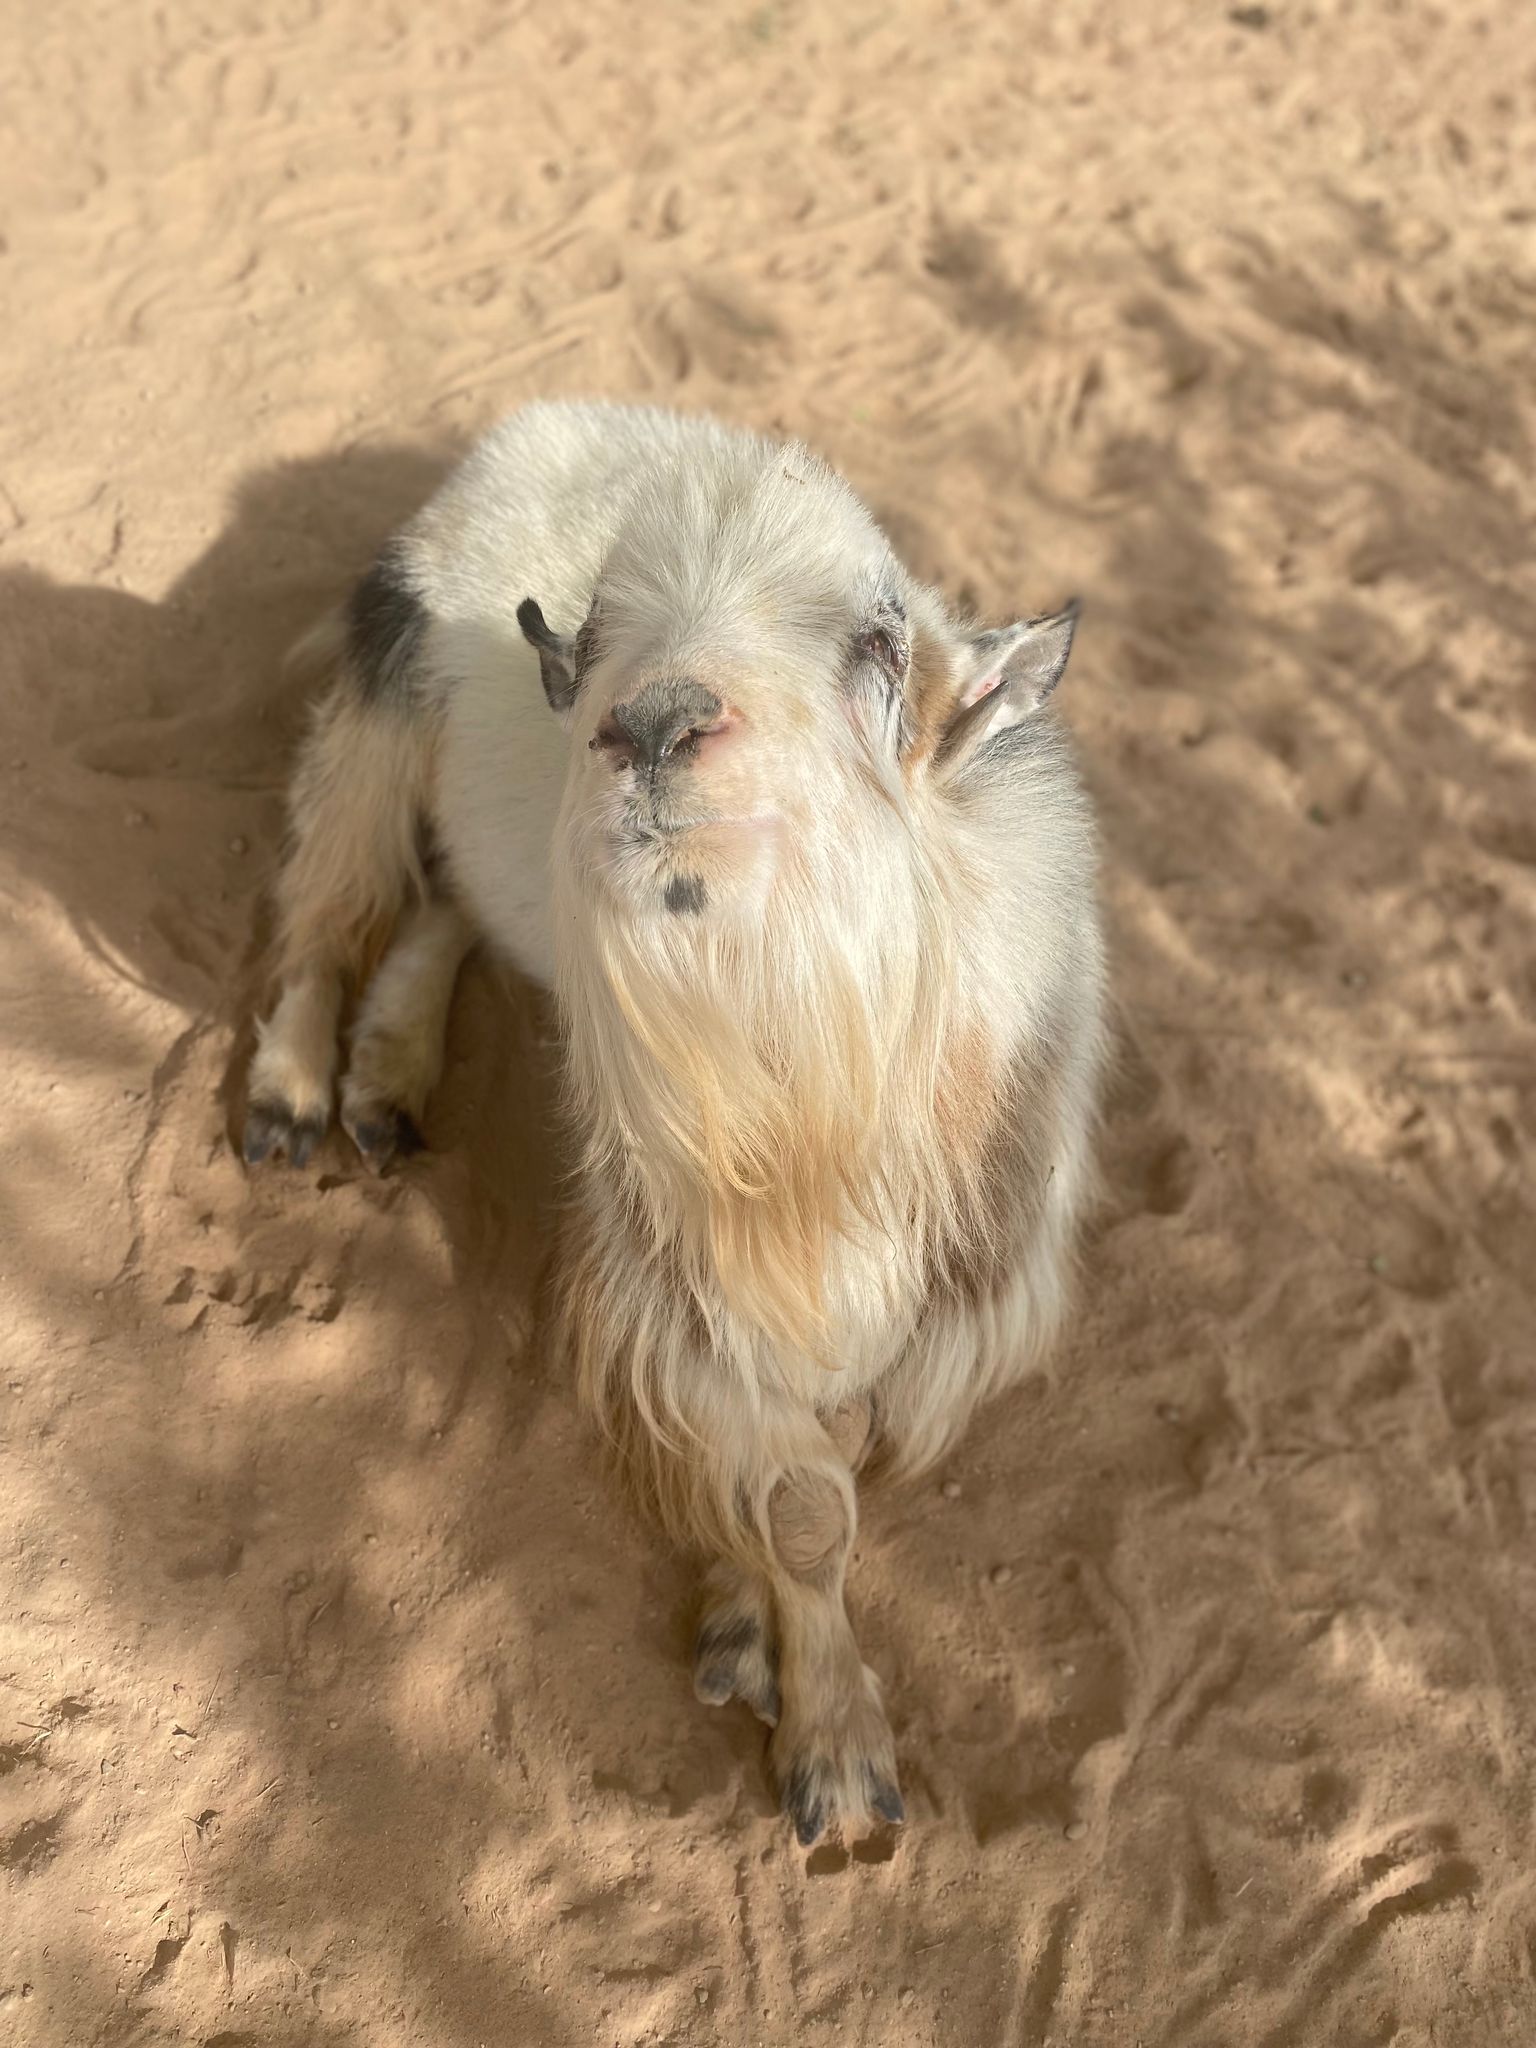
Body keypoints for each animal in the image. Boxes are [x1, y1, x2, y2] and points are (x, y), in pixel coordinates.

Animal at [243, 399, 1106, 1844]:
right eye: (596, 639)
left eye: (880, 647)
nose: (648, 725)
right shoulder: (675, 1264)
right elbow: (802, 1503)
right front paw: (836, 1758)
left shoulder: (954, 1285)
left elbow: (831, 1458)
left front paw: (752, 1643)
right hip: (379, 710)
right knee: (329, 904)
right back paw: (295, 1092)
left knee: (448, 900)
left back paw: (387, 1077)